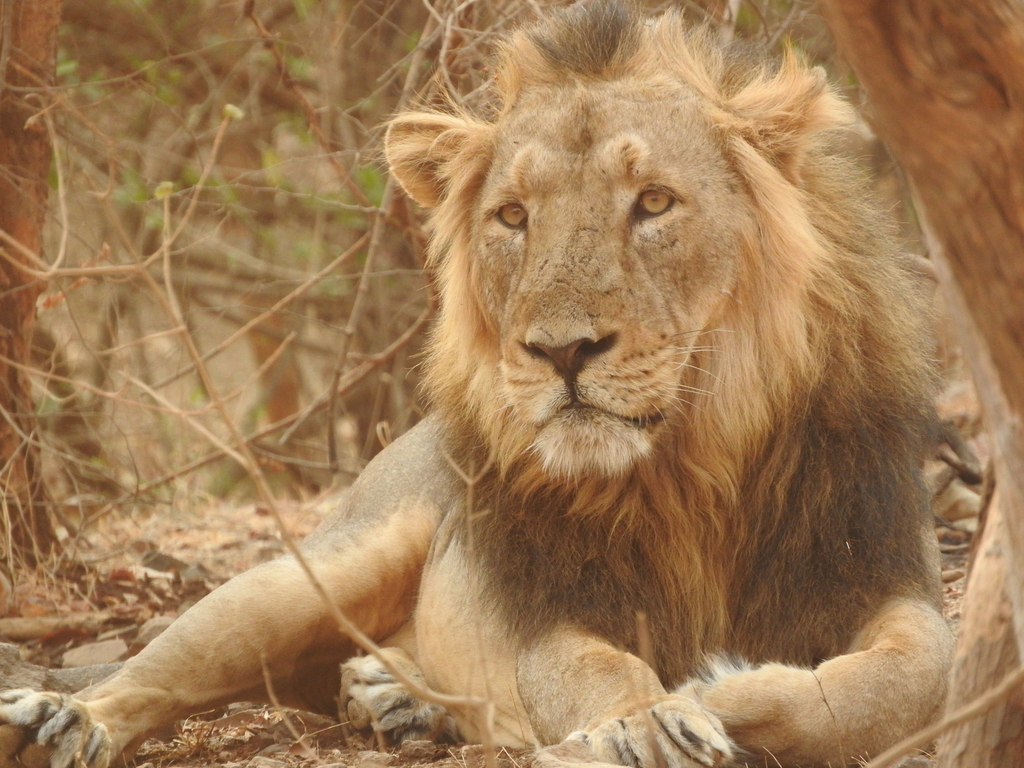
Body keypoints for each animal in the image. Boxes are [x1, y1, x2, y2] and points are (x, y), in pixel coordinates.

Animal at [0, 2, 953, 767]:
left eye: (653, 202)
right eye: (512, 217)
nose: (561, 351)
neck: (695, 467)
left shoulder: (887, 574)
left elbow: (898, 686)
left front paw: (718, 690)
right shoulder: (554, 606)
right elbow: (595, 668)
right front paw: (649, 720)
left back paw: (397, 701)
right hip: (310, 572)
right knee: (152, 671)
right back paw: (59, 721)